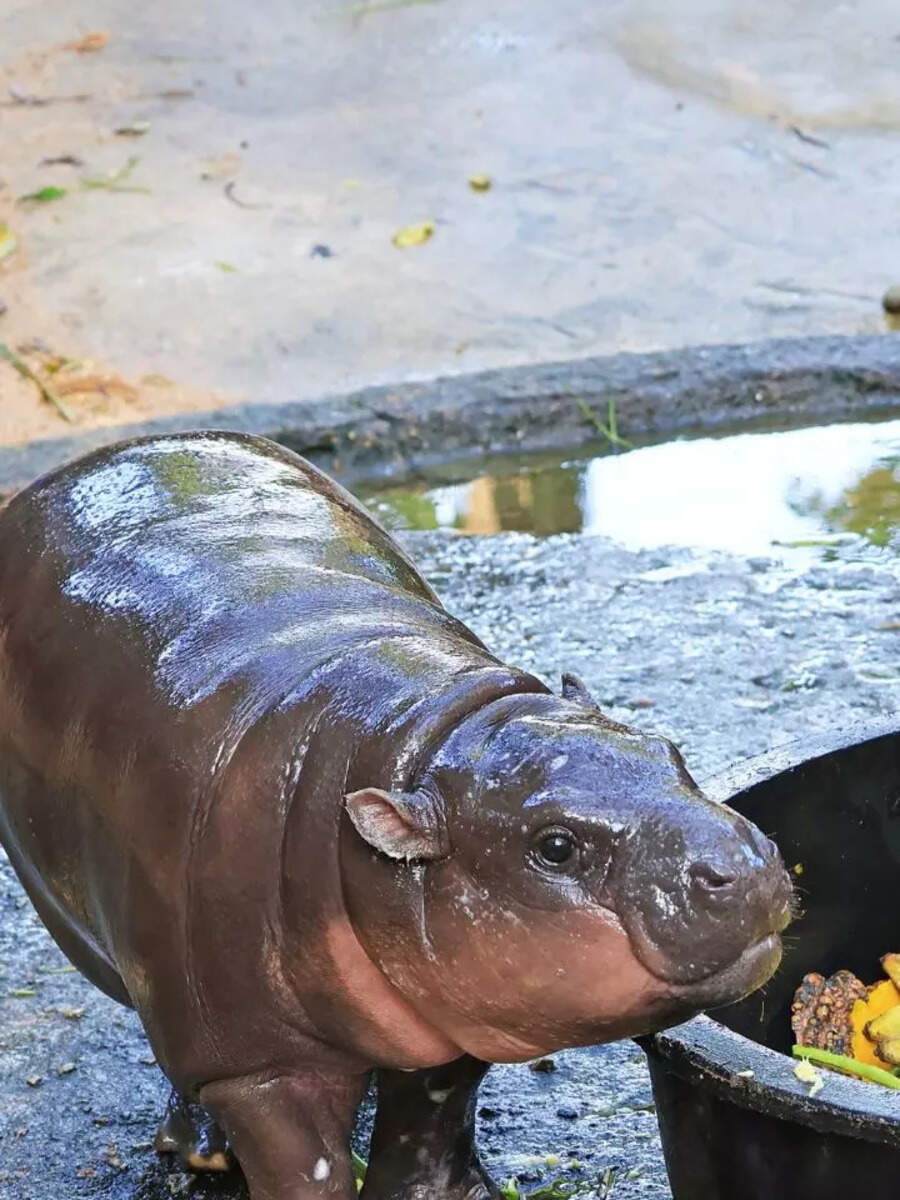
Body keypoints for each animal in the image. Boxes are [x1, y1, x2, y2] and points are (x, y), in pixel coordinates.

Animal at [0, 432, 792, 1200]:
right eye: (555, 846)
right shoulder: (260, 1069)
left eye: (668, 750)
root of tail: (75, 467)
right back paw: (201, 1150)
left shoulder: (446, 1006)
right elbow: (304, 1165)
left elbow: (432, 1117)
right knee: (175, 1052)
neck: (417, 739)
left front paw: (451, 1192)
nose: (742, 863)